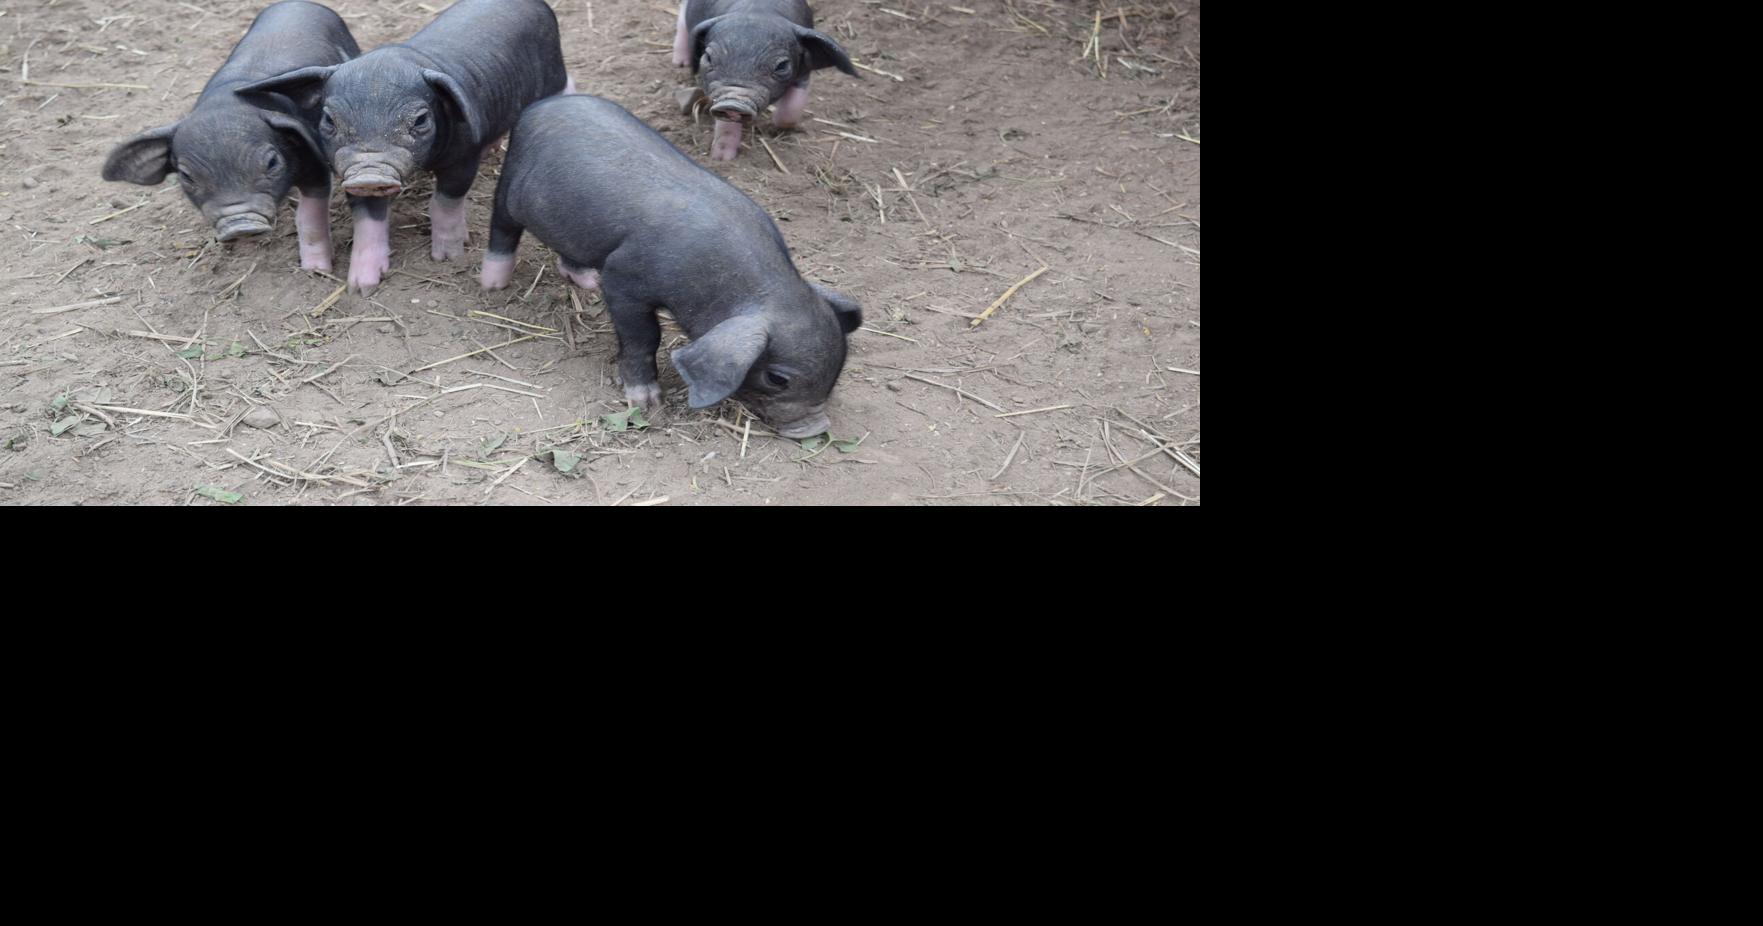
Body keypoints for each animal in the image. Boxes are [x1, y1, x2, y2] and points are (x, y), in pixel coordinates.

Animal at [101, 1, 360, 271]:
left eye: (272, 162)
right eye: (186, 176)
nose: (240, 224)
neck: (226, 104)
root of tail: (298, 3)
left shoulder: (313, 162)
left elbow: (311, 217)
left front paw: (317, 271)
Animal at [234, 0, 572, 294]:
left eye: (420, 119)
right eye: (329, 119)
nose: (371, 174)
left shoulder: (463, 158)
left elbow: (446, 202)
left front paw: (447, 258)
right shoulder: (350, 174)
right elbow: (368, 221)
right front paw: (361, 287)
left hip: (556, 73)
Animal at [480, 95, 862, 439]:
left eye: (841, 365)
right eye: (778, 378)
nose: (817, 427)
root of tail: (542, 104)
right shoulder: (623, 278)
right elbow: (644, 336)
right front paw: (647, 403)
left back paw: (586, 282)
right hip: (510, 182)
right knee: (502, 228)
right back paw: (493, 283)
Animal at [673, 0, 859, 161]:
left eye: (782, 65)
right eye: (708, 57)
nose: (733, 102)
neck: (758, 12)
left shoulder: (803, 75)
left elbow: (793, 107)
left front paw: (778, 126)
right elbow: (726, 125)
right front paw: (721, 159)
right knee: (682, 16)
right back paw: (680, 63)